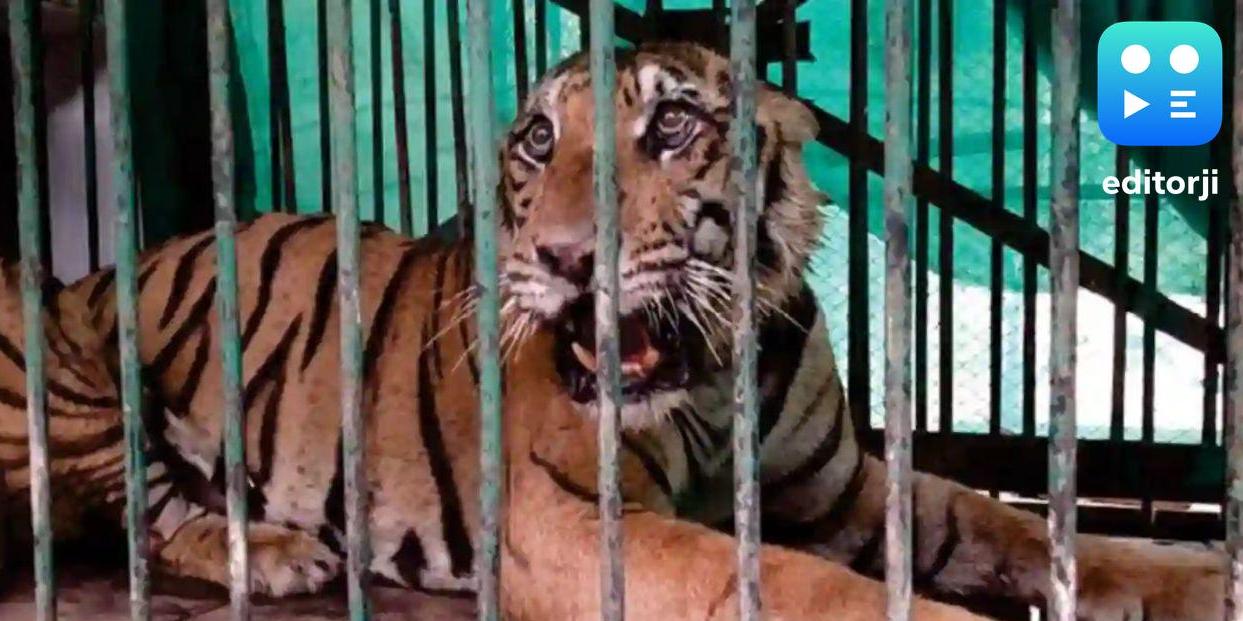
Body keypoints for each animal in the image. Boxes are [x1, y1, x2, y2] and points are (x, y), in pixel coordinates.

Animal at [0, 41, 1226, 619]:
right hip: (56, 367)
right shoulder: (572, 518)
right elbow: (794, 584)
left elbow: (1012, 523)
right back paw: (279, 550)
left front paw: (1197, 569)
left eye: (671, 127)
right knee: (142, 511)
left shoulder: (850, 489)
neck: (719, 372)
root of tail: (115, 258)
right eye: (538, 141)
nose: (562, 261)